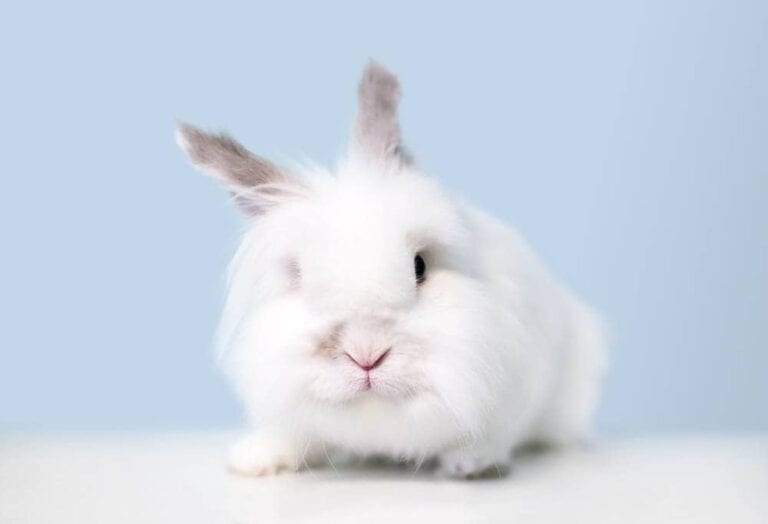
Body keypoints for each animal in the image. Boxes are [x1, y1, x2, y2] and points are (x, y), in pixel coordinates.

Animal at [176, 61, 607, 478]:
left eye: (420, 266)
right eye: (299, 277)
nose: (366, 355)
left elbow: (494, 433)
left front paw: (468, 462)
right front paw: (254, 459)